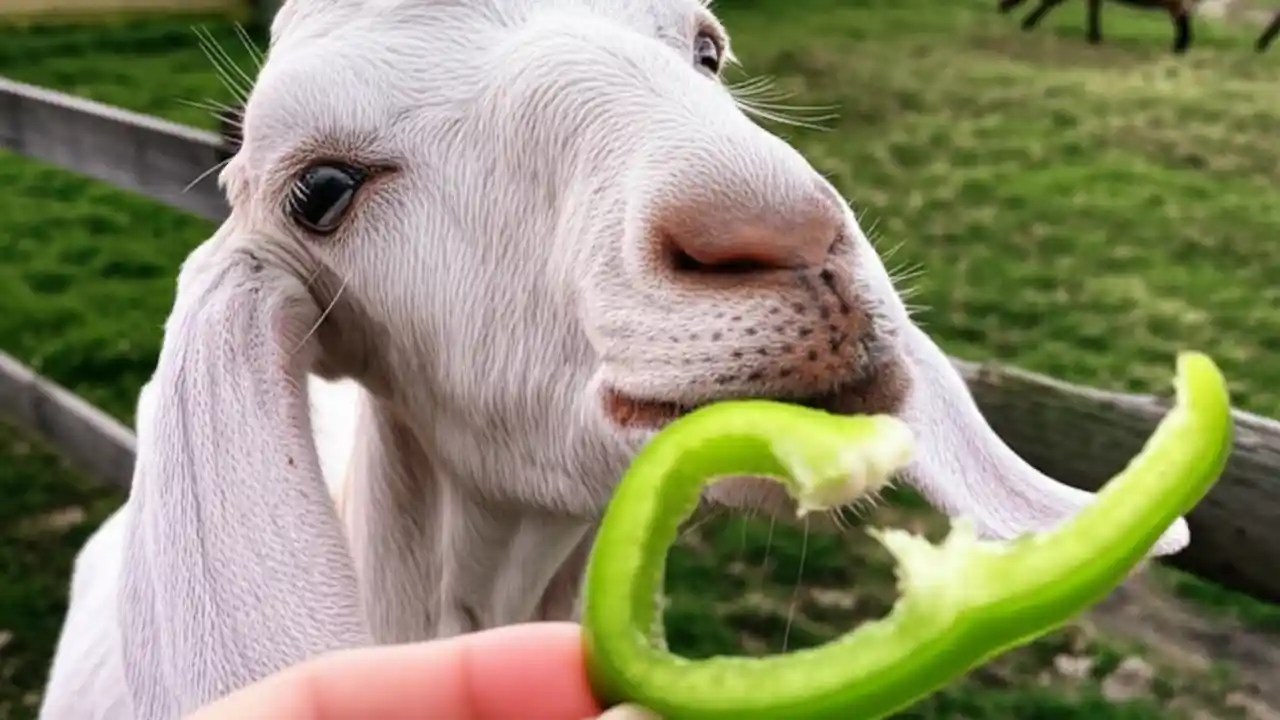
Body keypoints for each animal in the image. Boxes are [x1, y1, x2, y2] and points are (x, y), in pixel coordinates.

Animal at [1000, 0, 1196, 53]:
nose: (1000, 7)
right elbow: (1094, 11)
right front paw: (1094, 37)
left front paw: (1027, 23)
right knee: (1183, 23)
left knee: (1183, 23)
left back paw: (1179, 48)